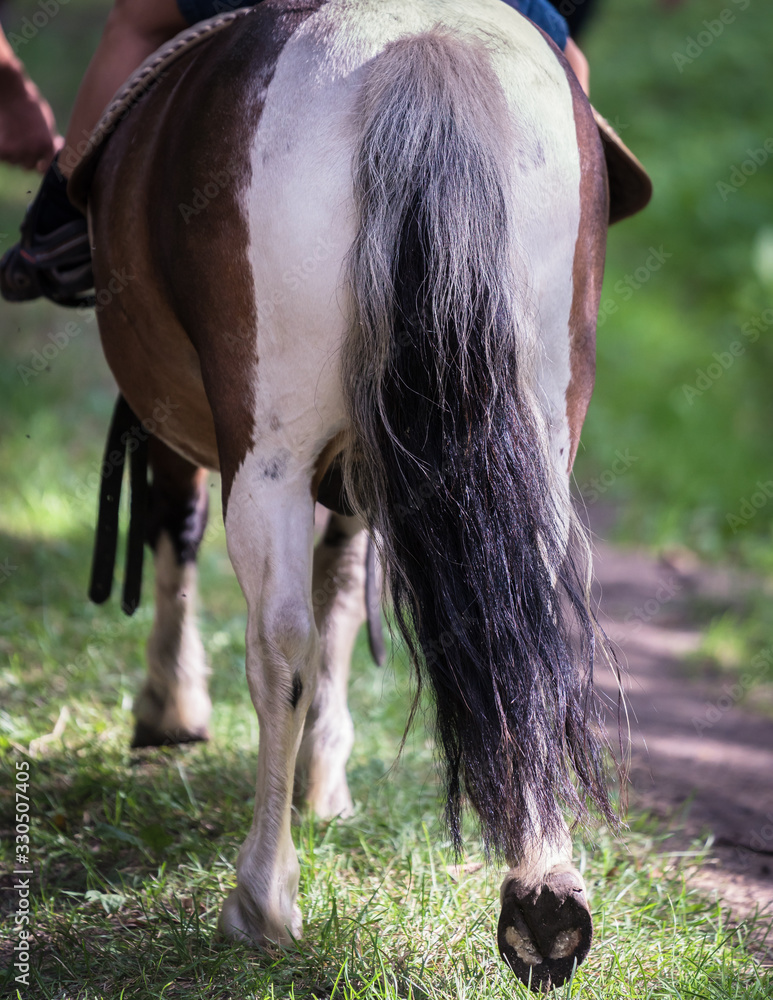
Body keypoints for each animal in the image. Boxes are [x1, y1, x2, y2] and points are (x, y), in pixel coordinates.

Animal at [69, 0, 646, 988]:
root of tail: (417, 48)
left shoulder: (185, 410)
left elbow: (187, 530)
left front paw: (172, 707)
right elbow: (345, 582)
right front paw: (324, 773)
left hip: (268, 448)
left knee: (278, 642)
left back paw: (261, 898)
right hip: (537, 425)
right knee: (528, 619)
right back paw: (544, 896)